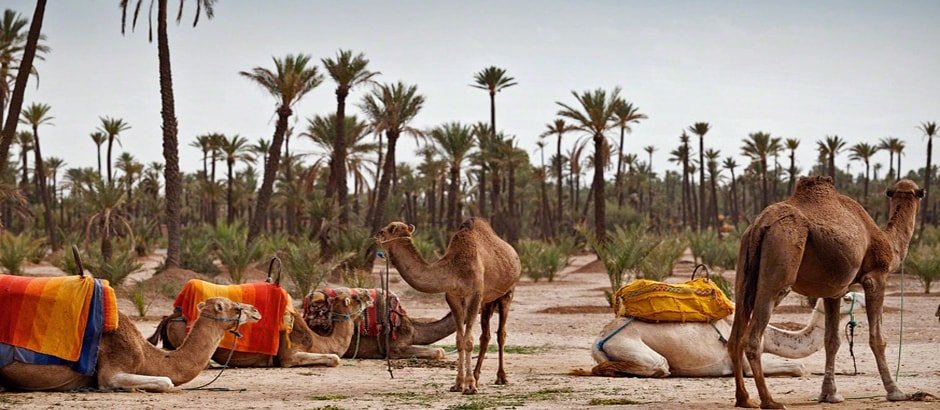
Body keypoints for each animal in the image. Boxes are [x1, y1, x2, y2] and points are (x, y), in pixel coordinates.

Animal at [149, 288, 369, 368]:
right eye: (356, 298)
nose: (367, 295)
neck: (317, 340)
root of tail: (173, 315)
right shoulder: (289, 355)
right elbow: (334, 358)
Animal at [376, 219, 521, 394]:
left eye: (387, 230)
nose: (376, 234)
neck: (455, 268)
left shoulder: (475, 296)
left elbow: (468, 341)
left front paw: (470, 386)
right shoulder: (453, 297)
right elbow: (459, 340)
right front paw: (458, 384)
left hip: (507, 293)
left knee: (501, 334)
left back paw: (501, 378)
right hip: (487, 301)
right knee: (485, 336)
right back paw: (477, 376)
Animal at [589, 292, 864, 378]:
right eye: (848, 297)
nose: (866, 297)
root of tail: (599, 337)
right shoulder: (746, 361)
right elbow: (799, 368)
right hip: (629, 344)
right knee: (659, 365)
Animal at [729, 176, 924, 408]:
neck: (888, 244)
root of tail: (761, 224)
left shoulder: (833, 292)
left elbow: (831, 341)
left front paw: (829, 394)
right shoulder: (876, 277)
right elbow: (878, 338)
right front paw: (896, 391)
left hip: (743, 268)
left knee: (735, 336)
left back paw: (744, 399)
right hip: (781, 257)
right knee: (753, 338)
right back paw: (770, 401)